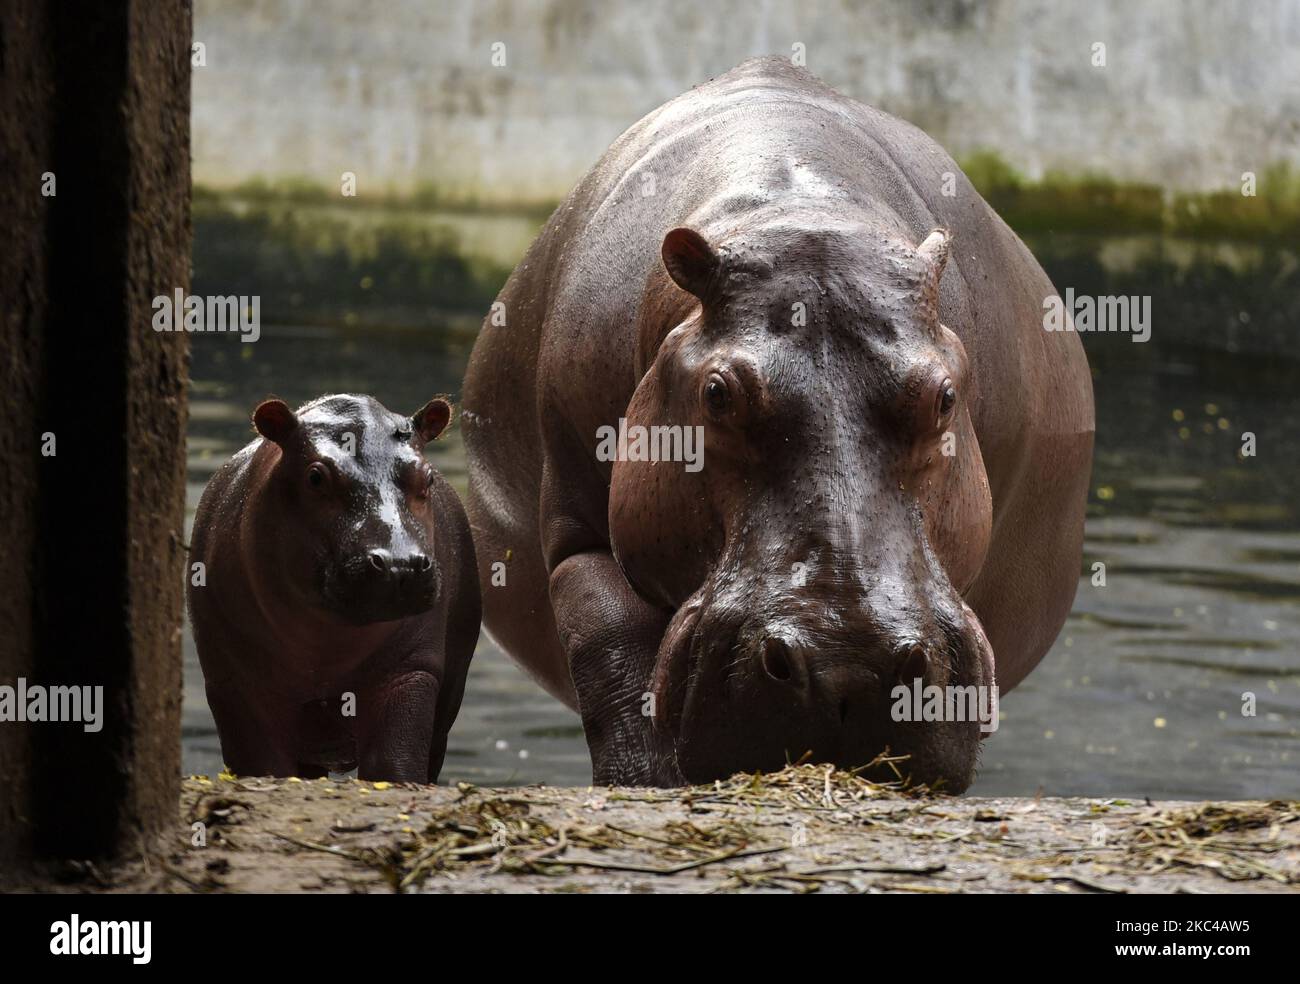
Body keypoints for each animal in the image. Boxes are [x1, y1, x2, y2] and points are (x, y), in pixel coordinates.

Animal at [188, 394, 480, 782]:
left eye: (428, 476)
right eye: (315, 476)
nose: (399, 564)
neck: (327, 641)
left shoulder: (410, 672)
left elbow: (393, 763)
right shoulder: (238, 683)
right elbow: (263, 764)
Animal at [461, 57, 1094, 790]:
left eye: (943, 397)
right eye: (715, 393)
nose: (848, 667)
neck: (798, 210)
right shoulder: (577, 535)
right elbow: (610, 658)